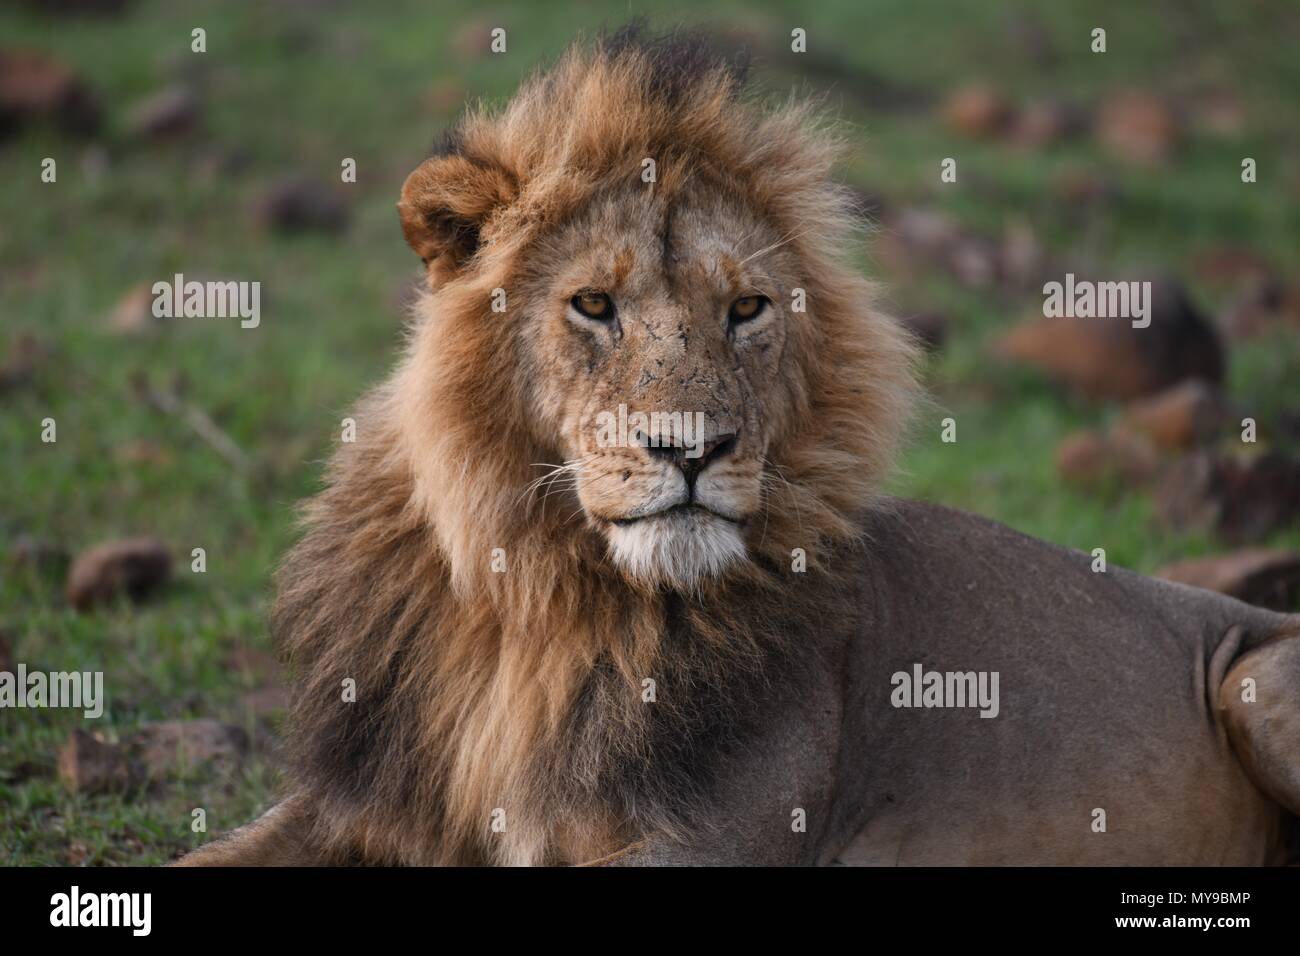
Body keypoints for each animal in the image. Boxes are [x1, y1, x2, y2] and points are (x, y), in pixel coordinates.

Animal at [178, 26, 1300, 866]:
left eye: (747, 309)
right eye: (594, 305)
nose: (692, 449)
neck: (538, 607)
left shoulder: (704, 844)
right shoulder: (363, 803)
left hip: (1256, 675)